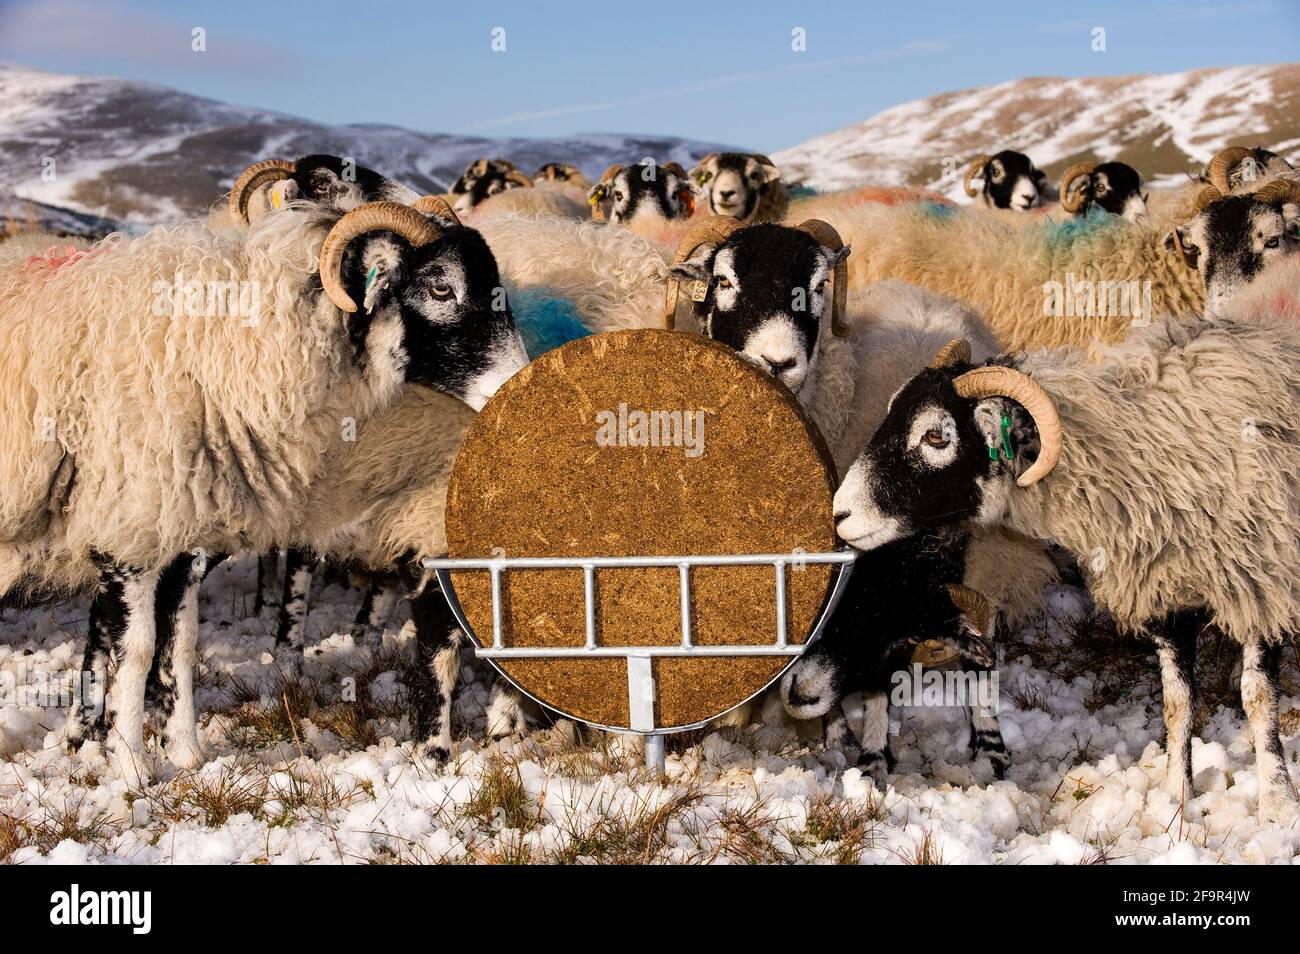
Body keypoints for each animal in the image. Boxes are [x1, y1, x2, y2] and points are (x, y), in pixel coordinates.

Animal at [0, 199, 527, 780]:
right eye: (440, 287)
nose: (521, 384)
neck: (225, 344)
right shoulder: (132, 526)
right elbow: (136, 651)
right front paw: (133, 765)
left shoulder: (183, 529)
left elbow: (180, 645)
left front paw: (185, 752)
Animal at [832, 318, 1300, 822]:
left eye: (936, 436)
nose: (840, 514)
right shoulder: (1166, 593)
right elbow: (1177, 702)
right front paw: (1176, 798)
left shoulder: (1260, 582)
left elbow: (1259, 696)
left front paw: (1276, 802)